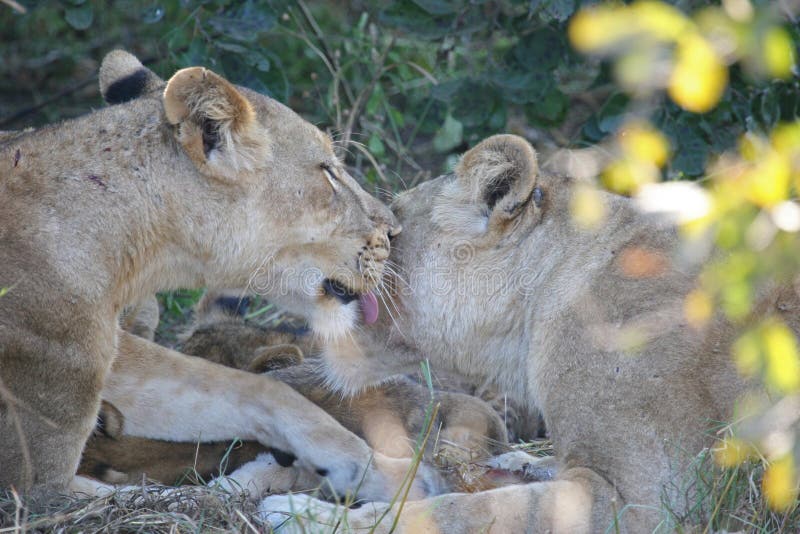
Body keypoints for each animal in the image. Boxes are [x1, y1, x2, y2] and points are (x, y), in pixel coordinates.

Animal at [0, 49, 444, 502]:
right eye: (327, 171)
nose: (396, 230)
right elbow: (180, 495)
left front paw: (395, 476)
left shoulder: (117, 353)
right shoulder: (35, 485)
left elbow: (257, 388)